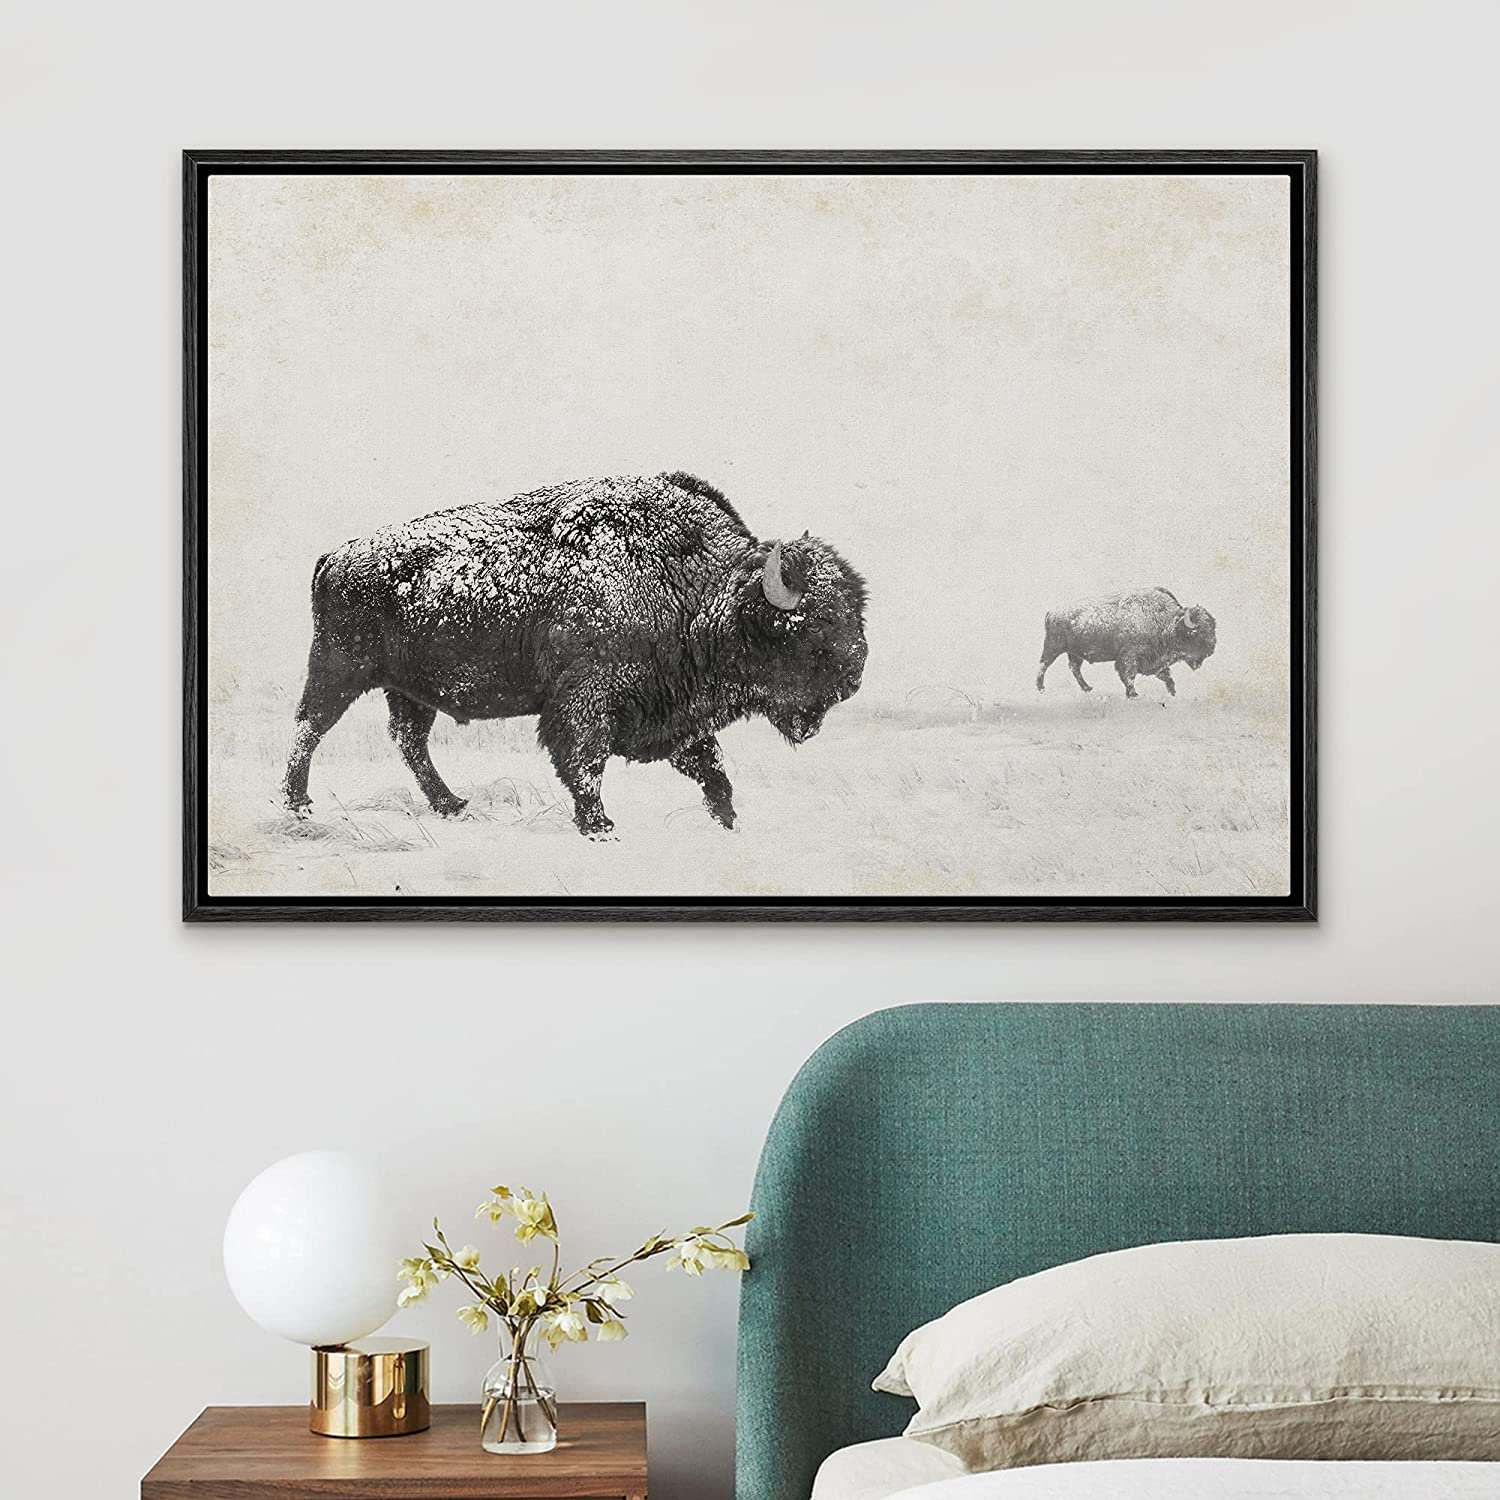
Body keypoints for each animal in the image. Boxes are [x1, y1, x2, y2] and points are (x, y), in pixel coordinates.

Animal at [281, 472, 868, 837]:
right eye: (812, 625)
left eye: (853, 610)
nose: (854, 676)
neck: (696, 588)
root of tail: (336, 555)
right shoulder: (587, 701)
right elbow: (585, 764)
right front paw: (600, 827)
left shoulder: (677, 713)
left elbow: (711, 769)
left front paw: (728, 822)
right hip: (339, 670)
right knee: (309, 728)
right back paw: (297, 804)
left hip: (410, 690)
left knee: (409, 742)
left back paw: (452, 806)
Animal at [1036, 587, 1217, 698]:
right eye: (1196, 633)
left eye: (1212, 628)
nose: (1211, 649)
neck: (1166, 622)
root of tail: (1051, 612)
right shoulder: (1129, 657)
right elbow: (1128, 676)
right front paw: (1133, 695)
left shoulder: (1156, 662)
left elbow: (1167, 678)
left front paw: (1172, 694)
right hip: (1053, 648)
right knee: (1043, 665)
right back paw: (1040, 688)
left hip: (1074, 653)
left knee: (1075, 669)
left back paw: (1087, 688)